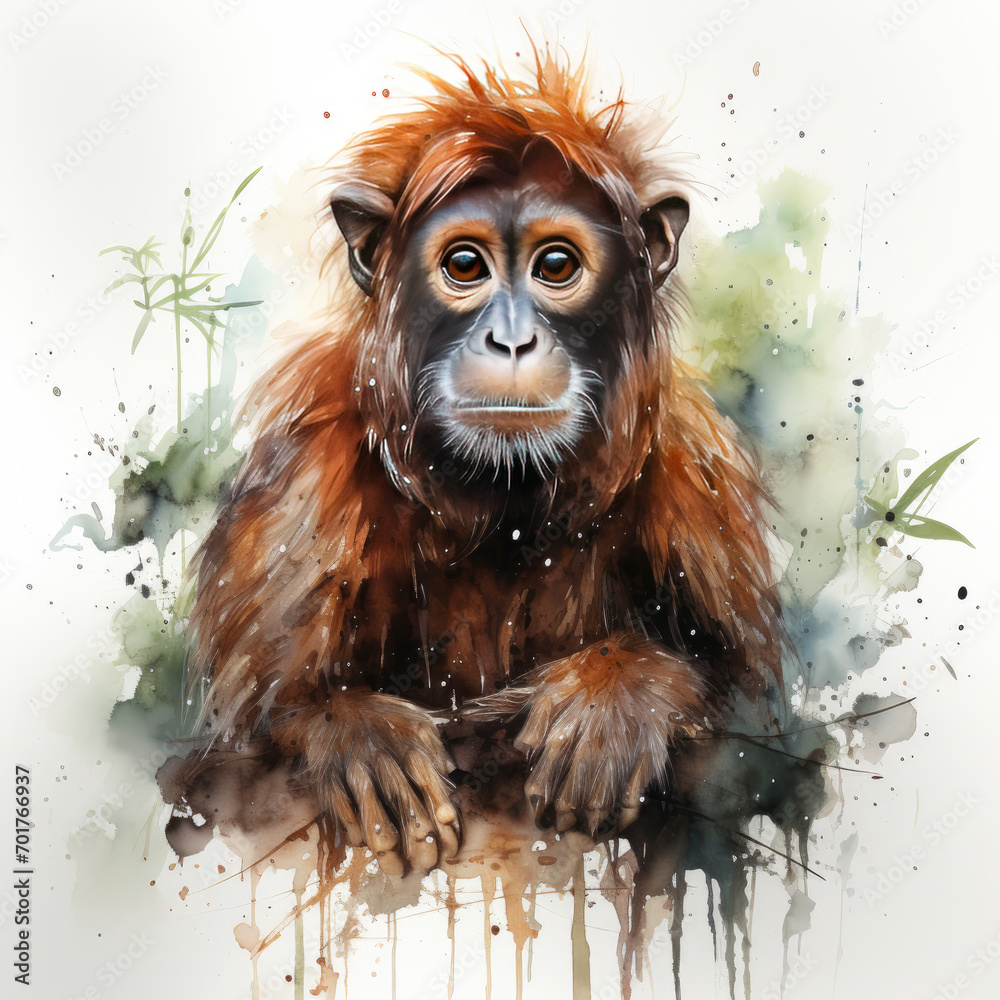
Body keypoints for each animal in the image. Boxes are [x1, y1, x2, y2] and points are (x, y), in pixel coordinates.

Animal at [175, 49, 782, 871]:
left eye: (556, 266)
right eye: (465, 264)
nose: (512, 340)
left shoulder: (695, 475)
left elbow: (746, 702)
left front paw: (615, 697)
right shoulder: (303, 480)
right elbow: (256, 727)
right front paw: (359, 736)